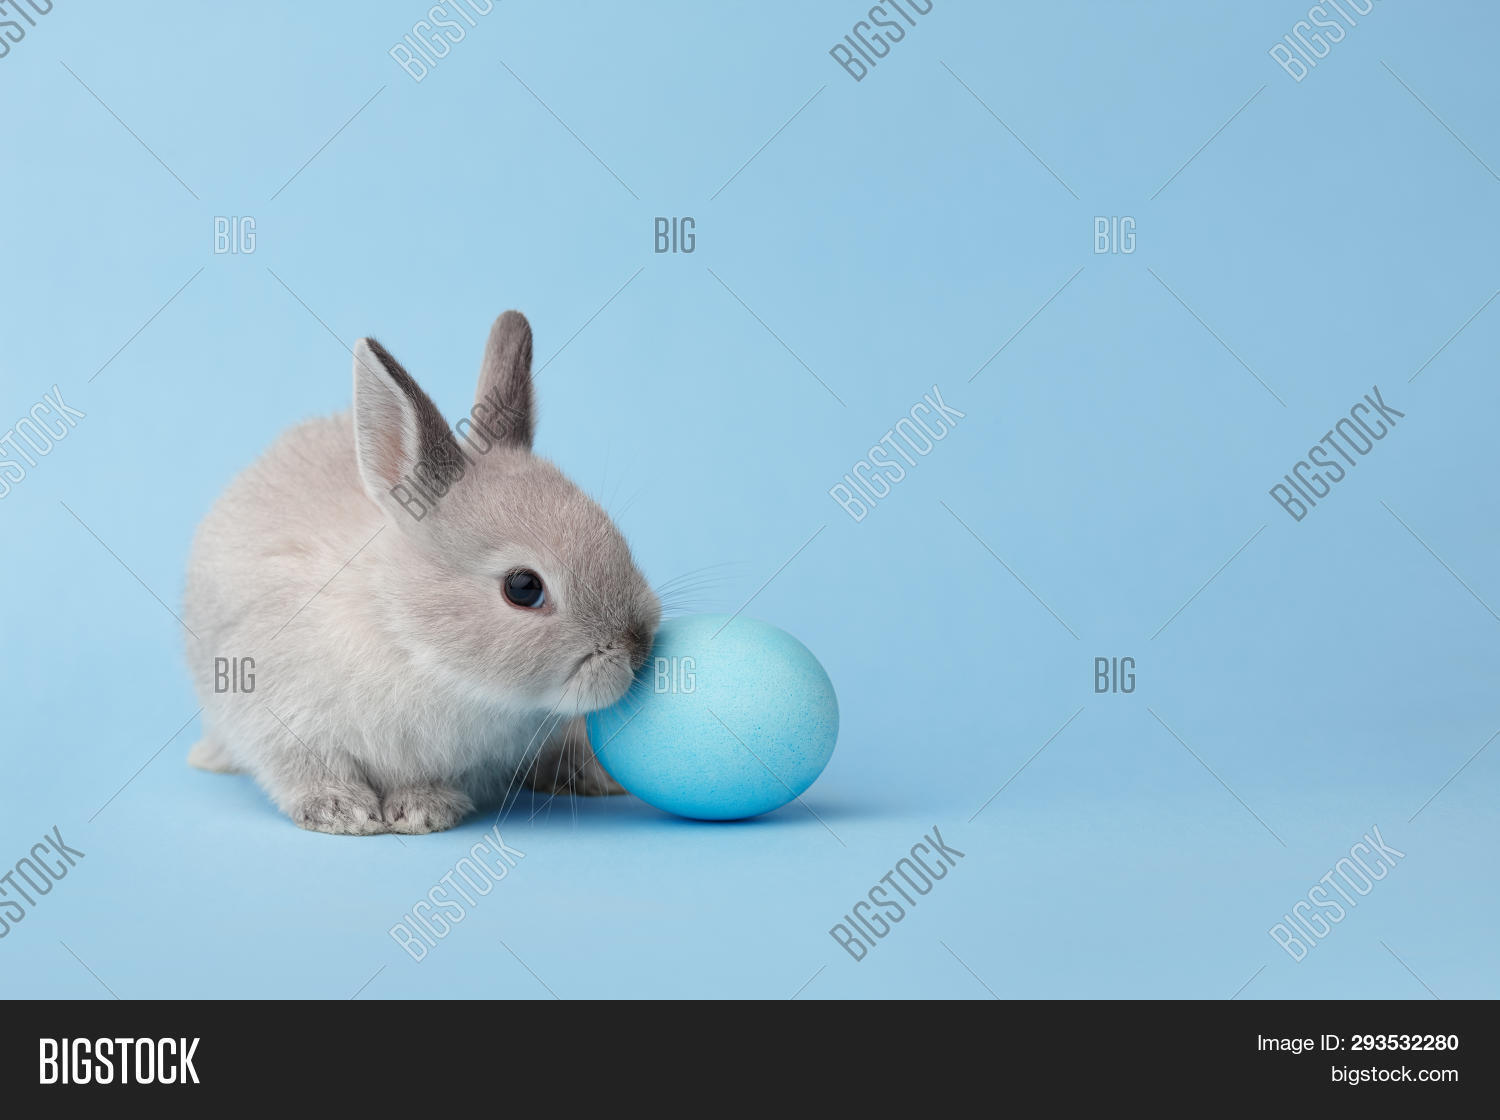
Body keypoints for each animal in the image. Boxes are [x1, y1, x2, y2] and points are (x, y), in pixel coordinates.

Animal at [182, 311, 660, 834]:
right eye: (523, 587)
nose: (637, 648)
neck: (411, 641)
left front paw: (421, 810)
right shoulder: (276, 717)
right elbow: (305, 770)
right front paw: (343, 812)